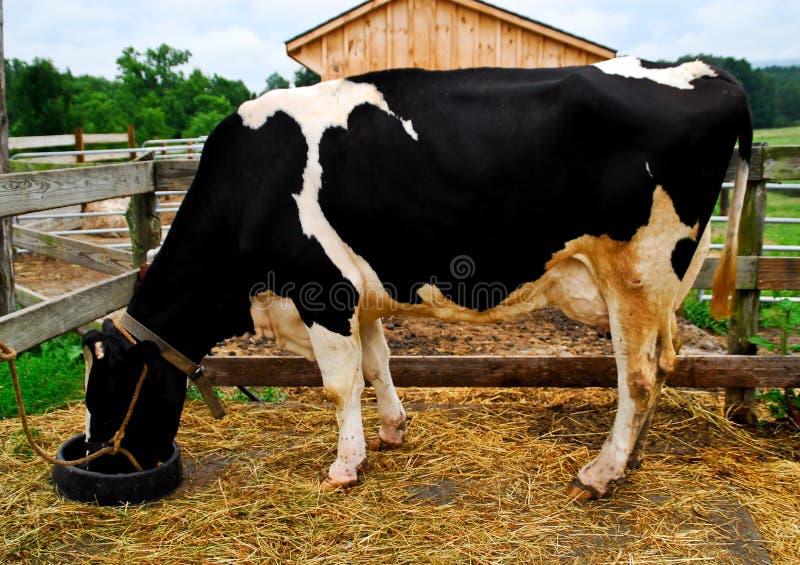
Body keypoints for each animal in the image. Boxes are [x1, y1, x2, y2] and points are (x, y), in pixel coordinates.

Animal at [81, 57, 752, 499]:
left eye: (105, 394)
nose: (97, 462)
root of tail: (704, 71)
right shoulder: (360, 297)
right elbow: (377, 365)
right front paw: (391, 433)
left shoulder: (322, 291)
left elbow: (339, 385)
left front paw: (344, 466)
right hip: (659, 286)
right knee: (661, 366)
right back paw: (632, 459)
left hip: (638, 272)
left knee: (637, 377)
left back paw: (601, 473)